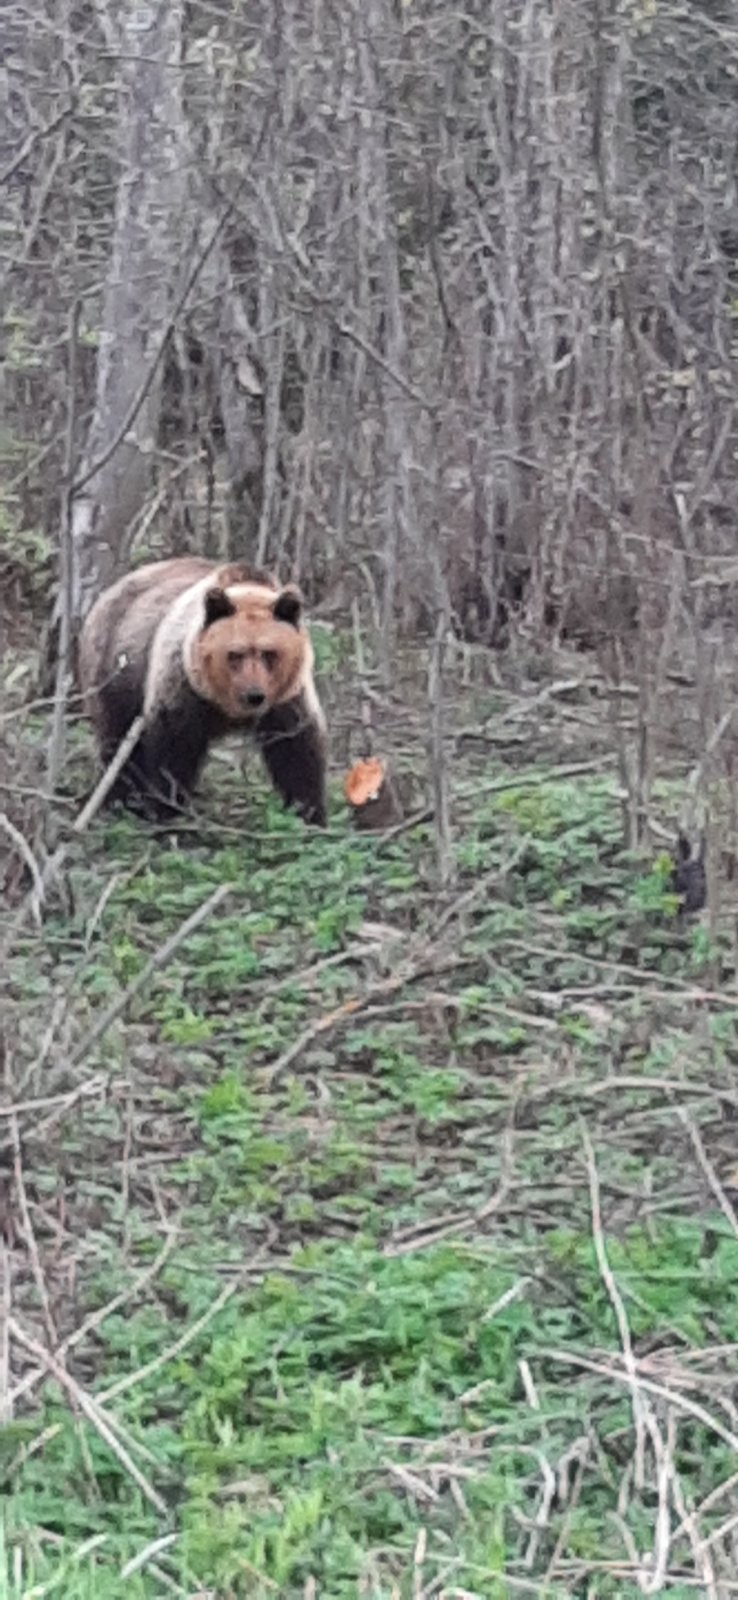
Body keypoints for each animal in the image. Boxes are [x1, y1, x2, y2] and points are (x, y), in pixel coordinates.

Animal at [76, 556, 326, 825]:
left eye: (269, 653)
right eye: (234, 654)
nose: (253, 695)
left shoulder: (286, 698)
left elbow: (297, 752)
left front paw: (309, 814)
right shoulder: (183, 686)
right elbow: (174, 749)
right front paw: (167, 809)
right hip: (115, 667)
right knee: (118, 741)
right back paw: (119, 801)